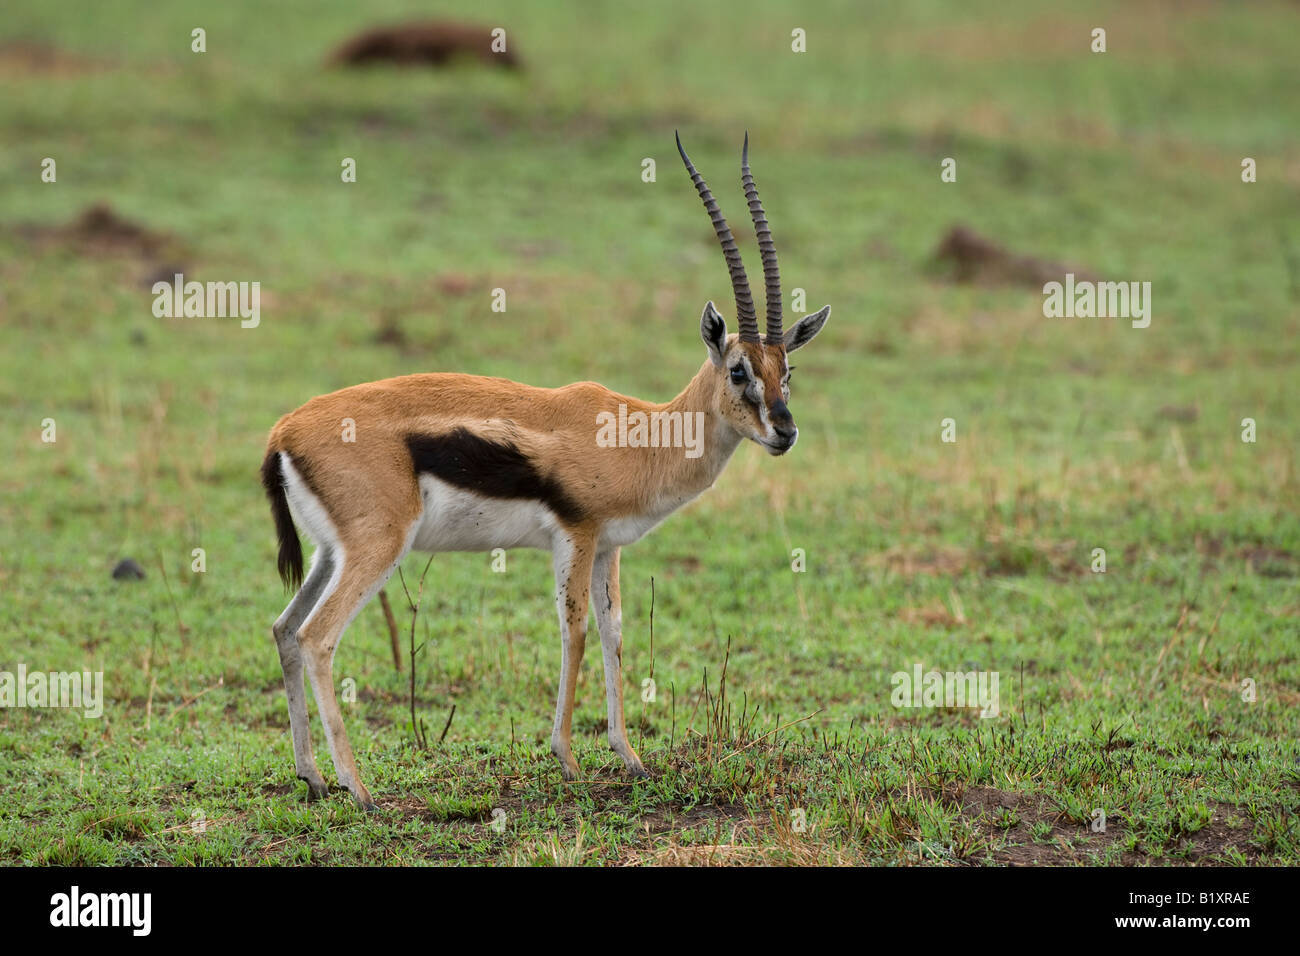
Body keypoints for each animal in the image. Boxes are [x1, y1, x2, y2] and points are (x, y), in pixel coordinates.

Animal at [260, 133, 830, 808]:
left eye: (787, 370)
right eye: (739, 370)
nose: (785, 431)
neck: (641, 435)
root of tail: (284, 431)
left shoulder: (609, 546)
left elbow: (613, 635)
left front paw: (630, 758)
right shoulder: (575, 536)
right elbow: (574, 631)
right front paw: (568, 760)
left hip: (329, 552)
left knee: (284, 629)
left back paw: (312, 774)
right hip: (377, 547)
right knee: (317, 637)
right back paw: (359, 787)